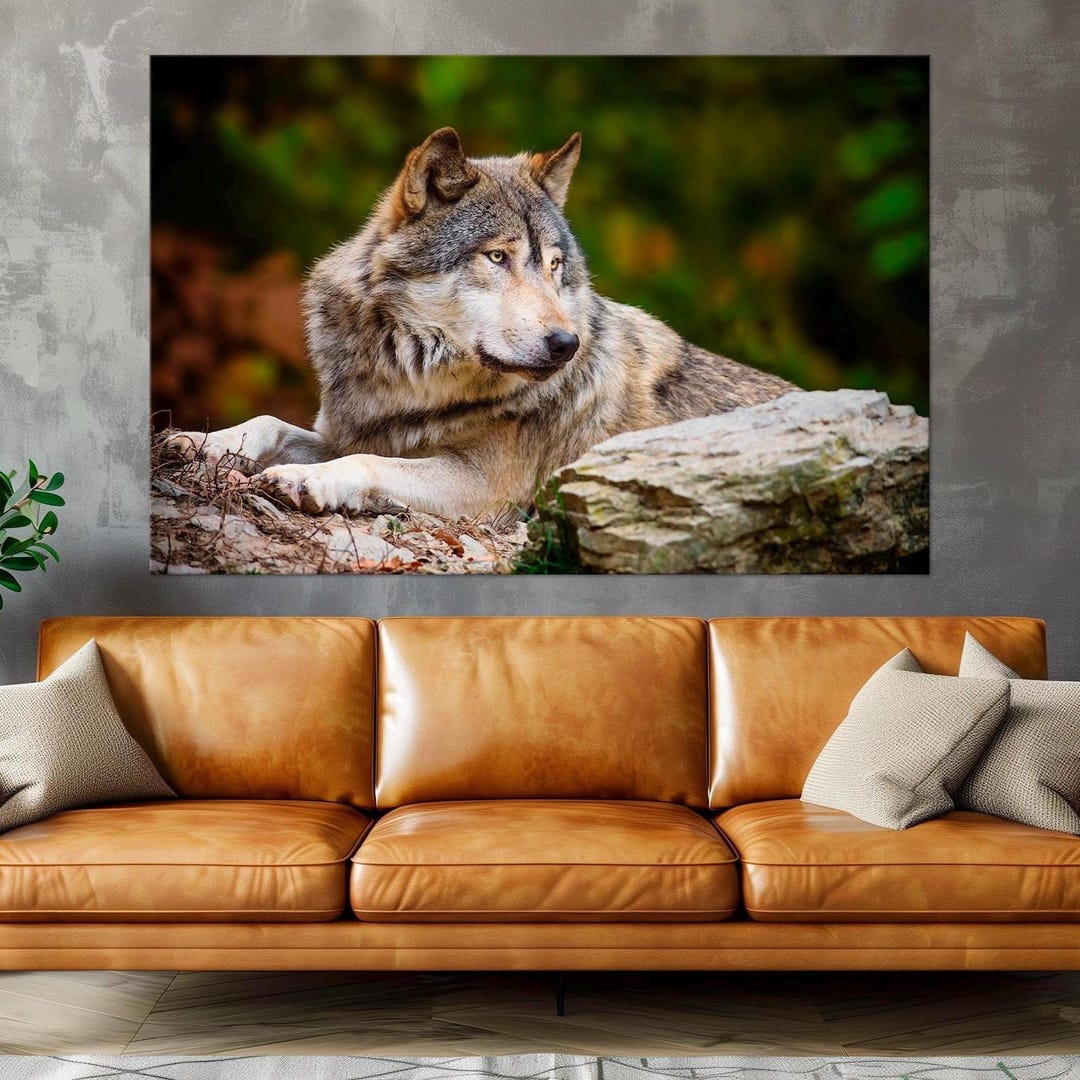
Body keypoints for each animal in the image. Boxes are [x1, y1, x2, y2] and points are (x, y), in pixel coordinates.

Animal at [168, 127, 797, 519]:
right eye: (497, 257)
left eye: (554, 266)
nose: (565, 343)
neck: (411, 383)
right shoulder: (348, 431)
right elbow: (271, 422)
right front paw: (200, 441)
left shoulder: (484, 487)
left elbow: (368, 462)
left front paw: (307, 482)